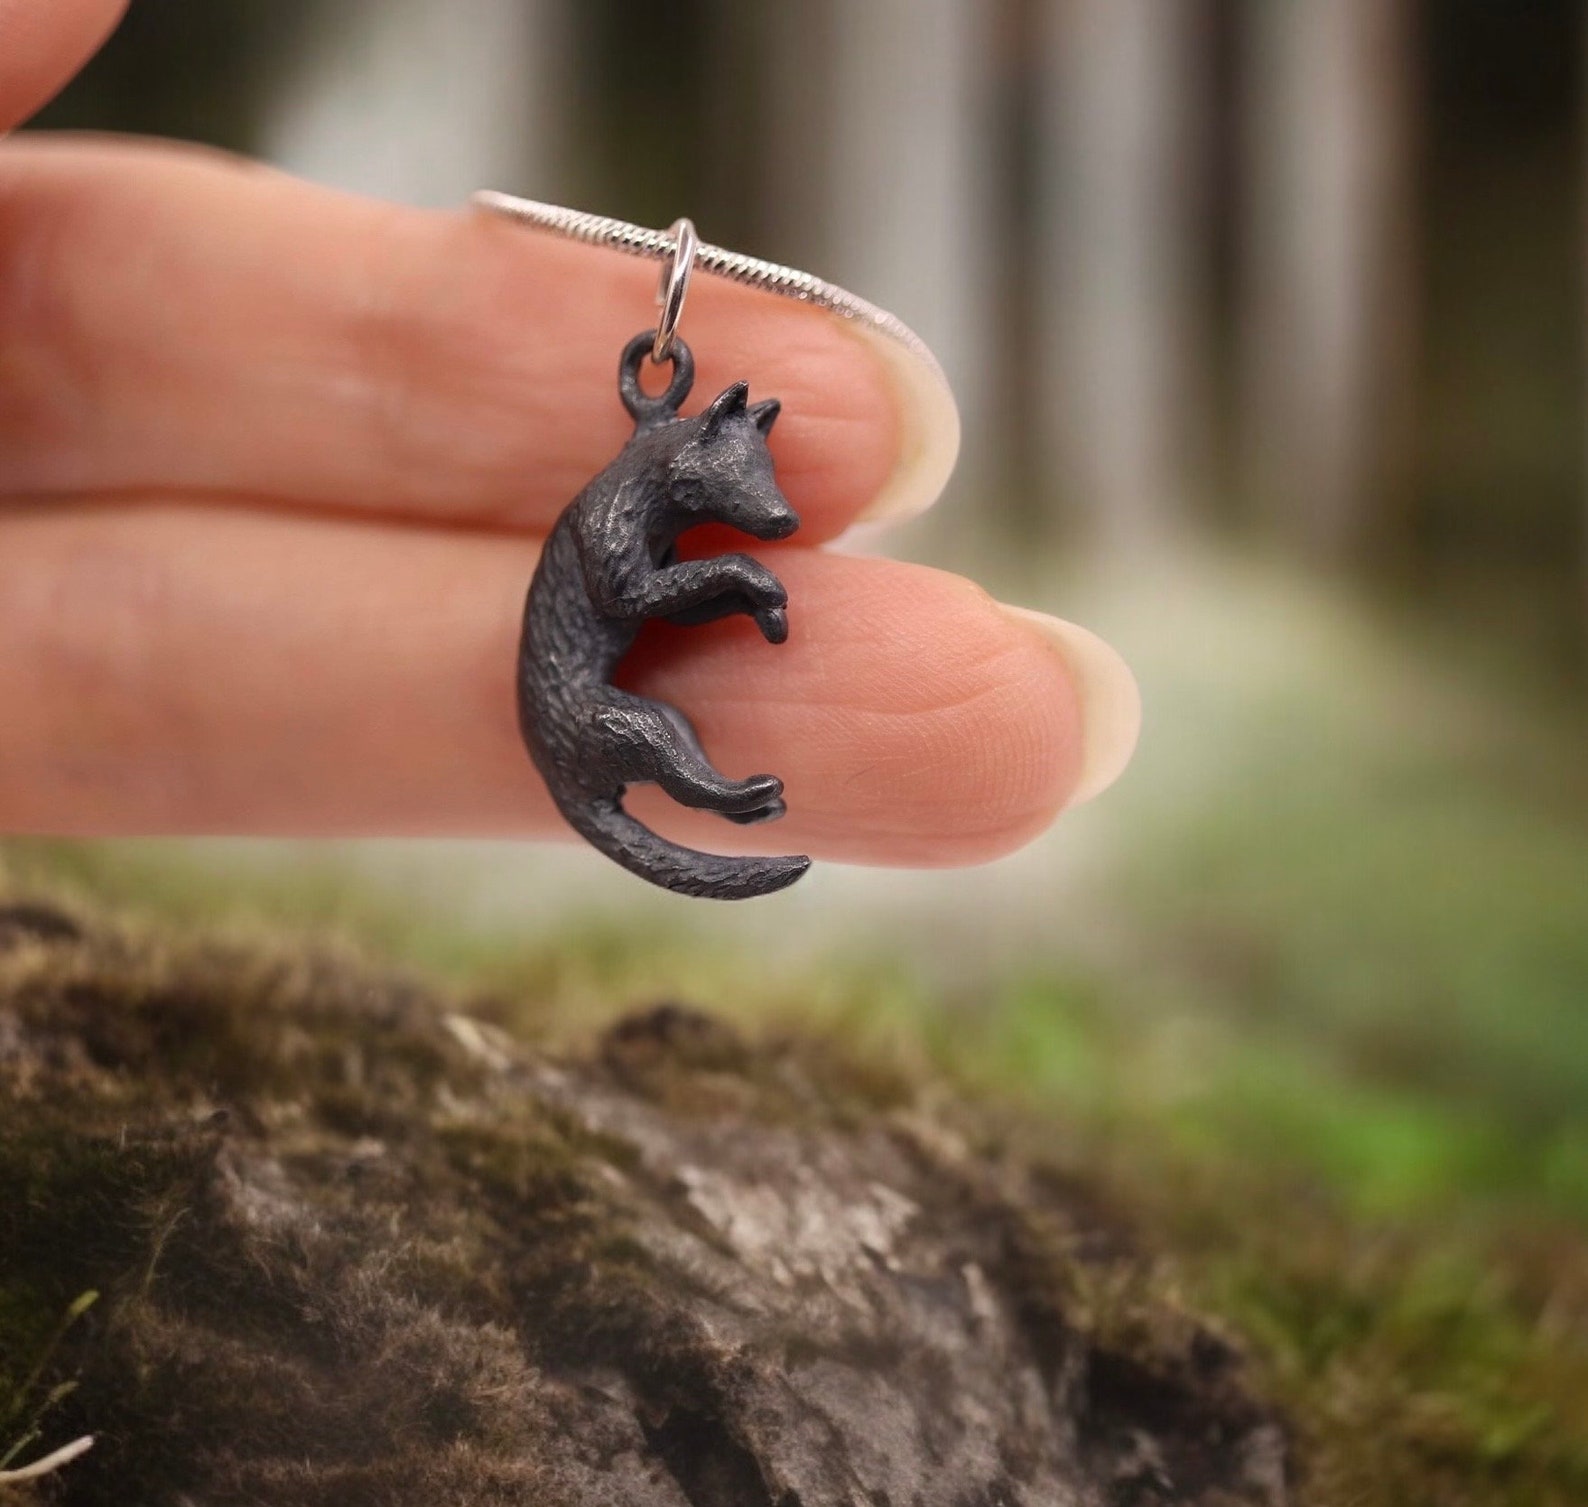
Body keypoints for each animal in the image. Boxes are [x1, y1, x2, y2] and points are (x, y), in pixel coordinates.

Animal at [518, 336, 812, 900]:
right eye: (743, 470)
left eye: (770, 466)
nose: (788, 520)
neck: (645, 495)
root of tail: (558, 783)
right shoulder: (621, 572)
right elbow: (718, 566)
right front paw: (766, 586)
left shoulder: (669, 573)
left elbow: (692, 600)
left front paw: (771, 615)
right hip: (628, 724)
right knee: (687, 785)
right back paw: (758, 790)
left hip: (668, 718)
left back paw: (762, 807)